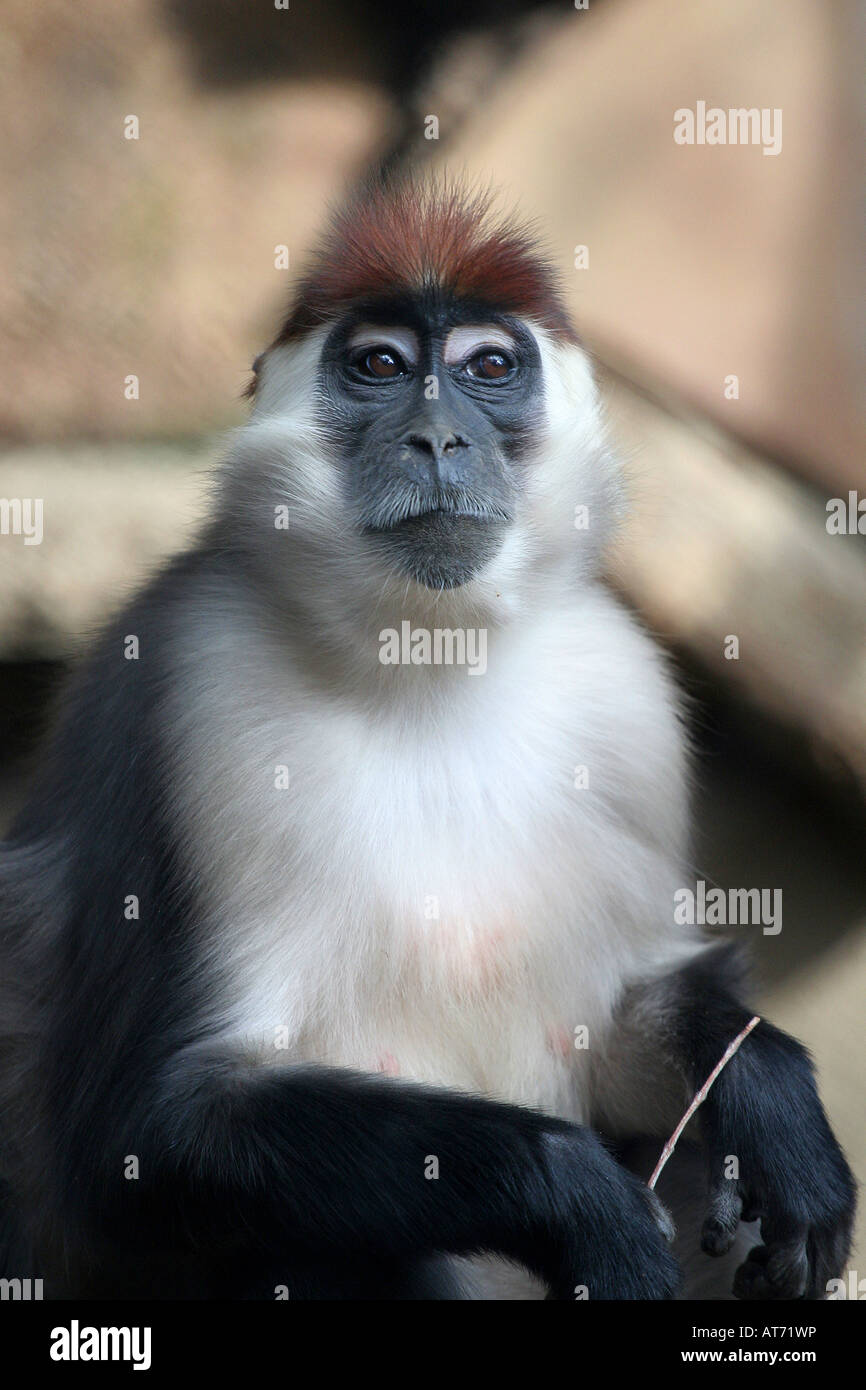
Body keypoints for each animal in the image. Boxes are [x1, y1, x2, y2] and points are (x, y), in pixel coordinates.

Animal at [0, 178, 855, 1300]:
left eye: (488, 368)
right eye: (380, 367)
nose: (438, 441)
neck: (425, 662)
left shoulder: (623, 693)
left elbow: (629, 1030)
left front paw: (765, 1095)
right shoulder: (193, 683)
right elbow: (145, 1137)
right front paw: (580, 1200)